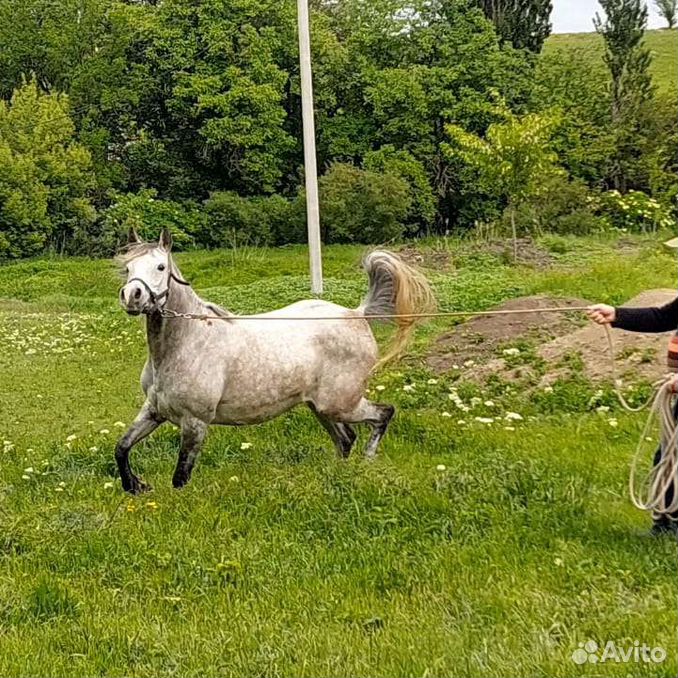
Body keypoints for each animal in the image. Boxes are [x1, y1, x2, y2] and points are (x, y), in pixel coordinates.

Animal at [115, 228, 435, 493]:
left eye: (160, 267)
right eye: (127, 268)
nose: (133, 296)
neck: (185, 344)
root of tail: (356, 314)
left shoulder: (195, 423)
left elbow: (181, 477)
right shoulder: (154, 411)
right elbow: (122, 447)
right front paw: (136, 486)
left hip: (341, 404)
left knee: (383, 414)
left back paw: (367, 462)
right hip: (321, 407)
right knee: (346, 439)